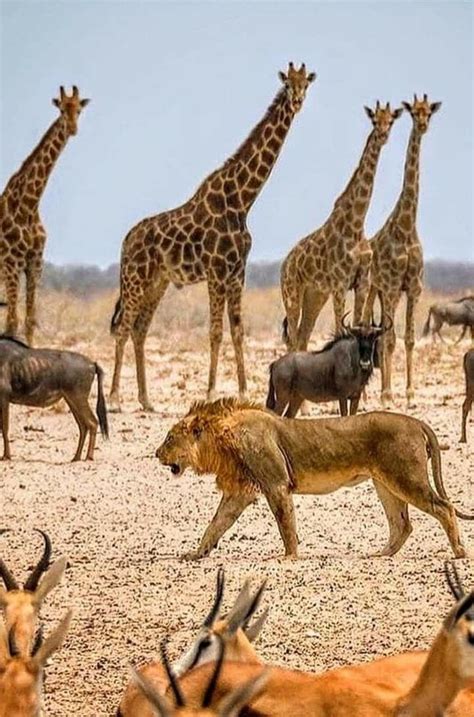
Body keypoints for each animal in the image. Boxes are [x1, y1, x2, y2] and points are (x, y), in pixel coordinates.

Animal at [0, 86, 89, 344]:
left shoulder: (35, 262)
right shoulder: (12, 261)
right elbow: (12, 323)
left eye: (79, 110)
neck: (30, 205)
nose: (73, 129)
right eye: (61, 110)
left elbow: (30, 321)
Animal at [110, 63, 316, 412]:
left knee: (139, 329)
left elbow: (238, 331)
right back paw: (114, 399)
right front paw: (209, 392)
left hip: (157, 283)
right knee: (123, 328)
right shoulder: (217, 271)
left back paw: (146, 400)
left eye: (307, 84)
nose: (298, 101)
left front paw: (244, 392)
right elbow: (216, 332)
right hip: (134, 278)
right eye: (288, 84)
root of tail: (126, 241)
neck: (242, 200)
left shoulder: (237, 272)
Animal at [280, 102, 403, 354]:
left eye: (391, 120)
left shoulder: (361, 282)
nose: (383, 134)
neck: (357, 224)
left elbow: (358, 324)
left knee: (303, 335)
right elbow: (340, 328)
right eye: (374, 120)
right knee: (293, 337)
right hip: (292, 293)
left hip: (315, 295)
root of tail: (284, 266)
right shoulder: (339, 283)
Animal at [362, 94, 441, 407]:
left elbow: (408, 338)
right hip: (374, 288)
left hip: (382, 291)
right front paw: (388, 394)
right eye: (413, 113)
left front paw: (409, 394)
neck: (407, 226)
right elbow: (391, 338)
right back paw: (376, 394)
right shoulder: (394, 286)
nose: (422, 125)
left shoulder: (414, 287)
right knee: (371, 328)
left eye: (429, 112)